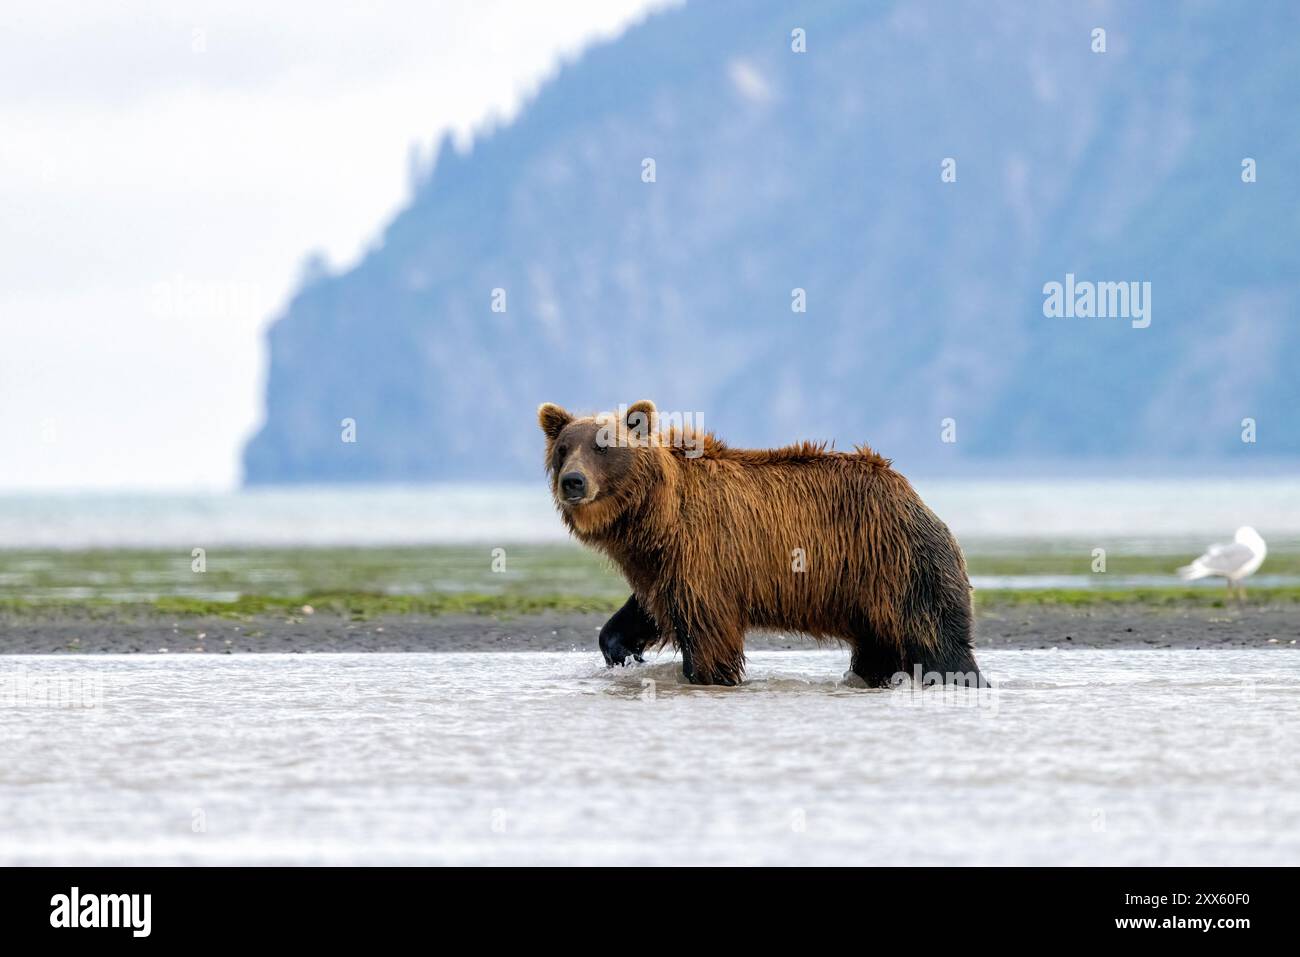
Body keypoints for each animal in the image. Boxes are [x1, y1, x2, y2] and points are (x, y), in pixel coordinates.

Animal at [538, 399, 984, 688]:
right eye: (563, 449)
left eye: (602, 445)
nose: (573, 481)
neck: (653, 517)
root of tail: (910, 492)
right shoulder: (659, 566)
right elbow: (644, 611)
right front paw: (624, 653)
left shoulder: (702, 556)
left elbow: (708, 636)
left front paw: (707, 676)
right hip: (868, 598)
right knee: (879, 651)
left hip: (901, 565)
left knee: (939, 642)